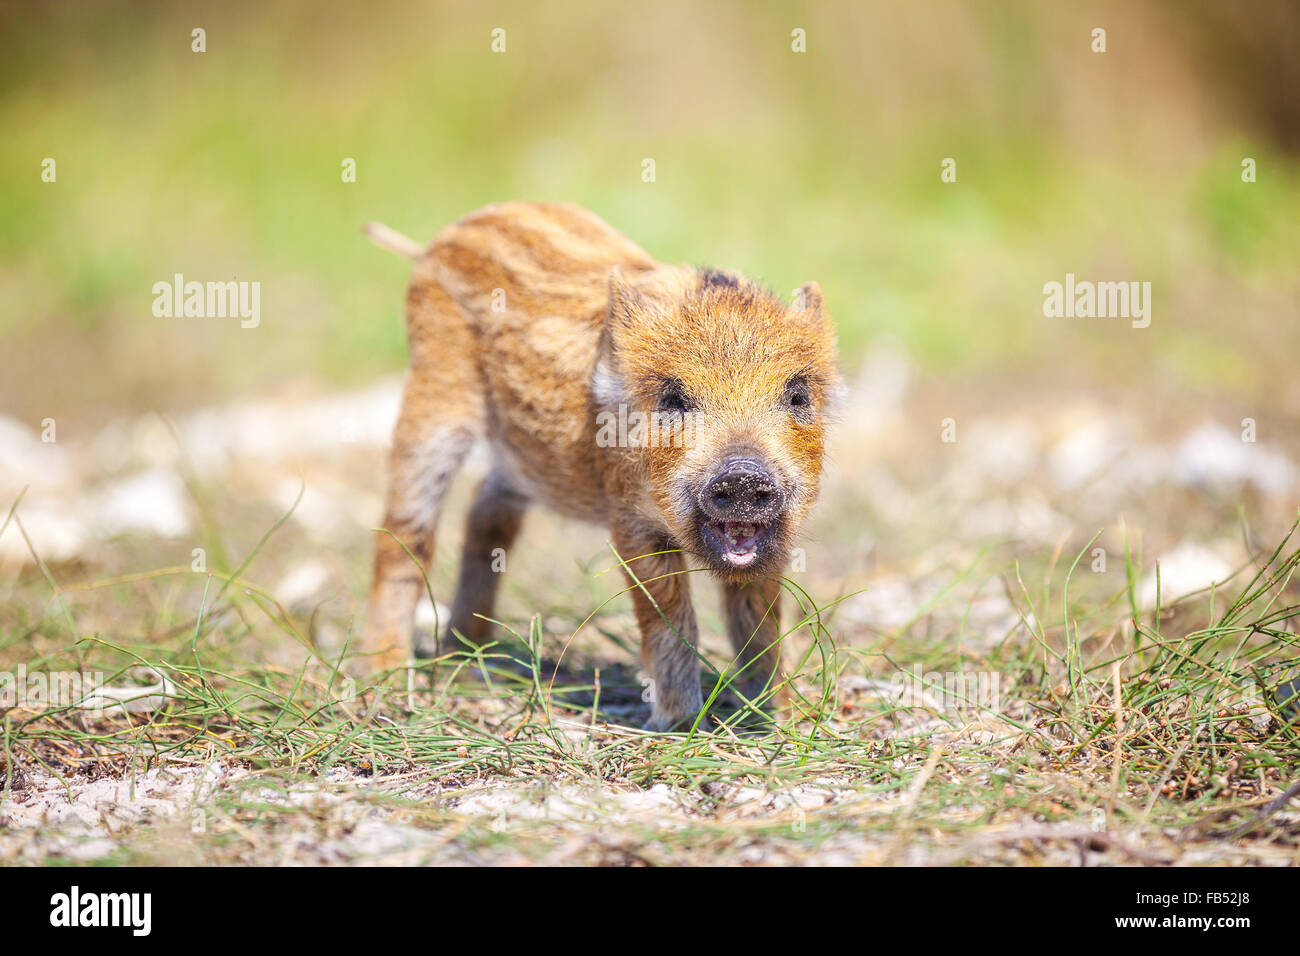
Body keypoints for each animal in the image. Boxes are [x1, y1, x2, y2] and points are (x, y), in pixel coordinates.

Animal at [359, 202, 839, 730]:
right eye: (672, 399)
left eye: (798, 396)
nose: (743, 473)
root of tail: (438, 243)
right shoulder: (630, 522)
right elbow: (671, 618)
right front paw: (679, 725)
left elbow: (760, 620)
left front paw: (776, 717)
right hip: (433, 396)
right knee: (405, 532)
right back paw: (383, 683)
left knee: (486, 513)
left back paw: (467, 666)